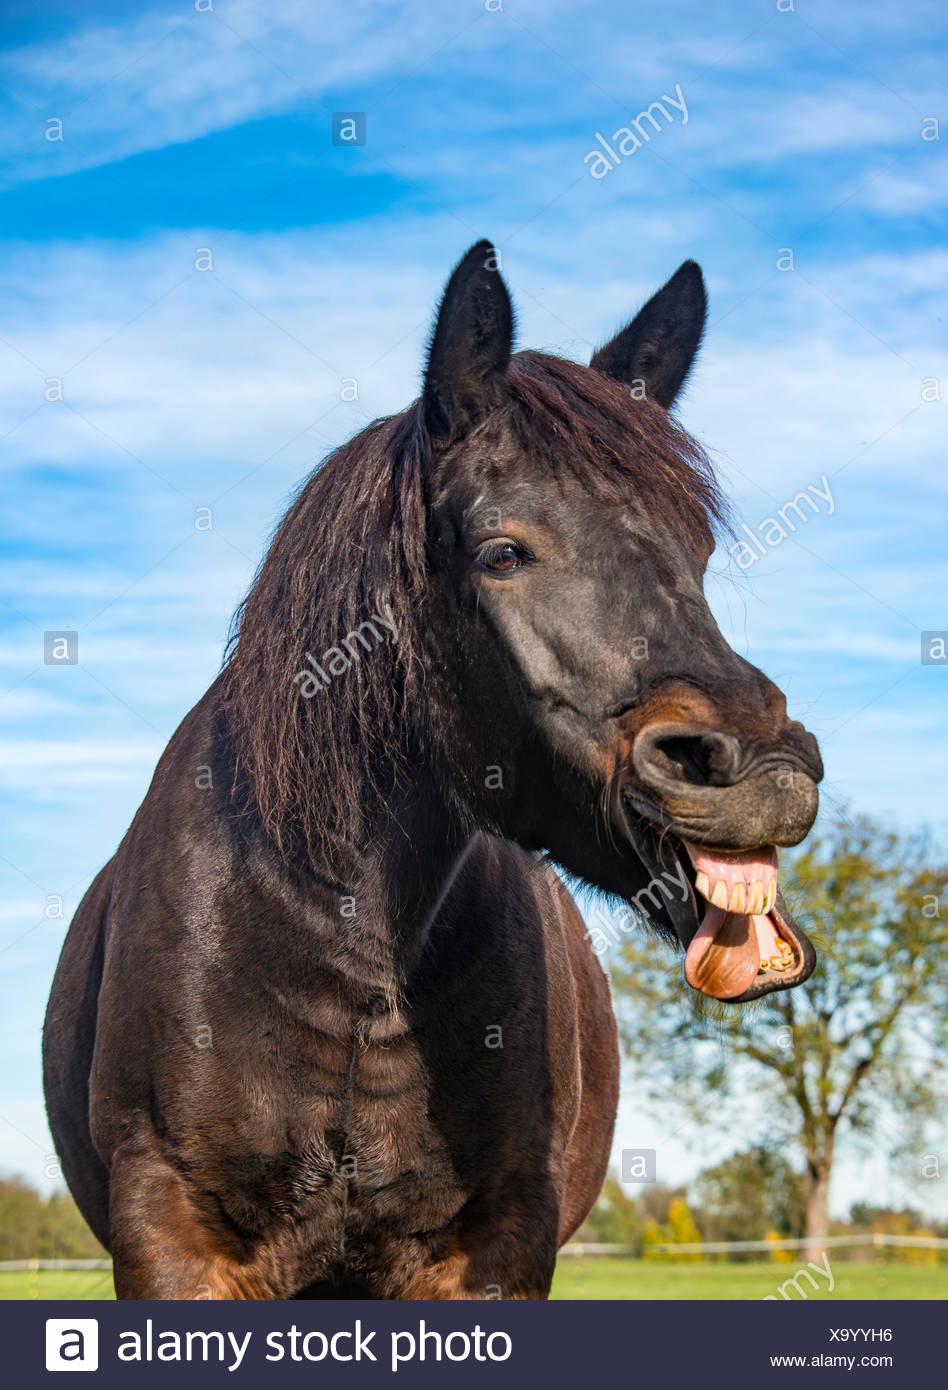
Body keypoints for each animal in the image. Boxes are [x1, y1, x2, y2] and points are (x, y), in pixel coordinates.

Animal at [43, 241, 823, 1299]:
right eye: (502, 553)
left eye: (697, 551)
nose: (762, 772)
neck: (342, 949)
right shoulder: (175, 1238)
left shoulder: (494, 1247)